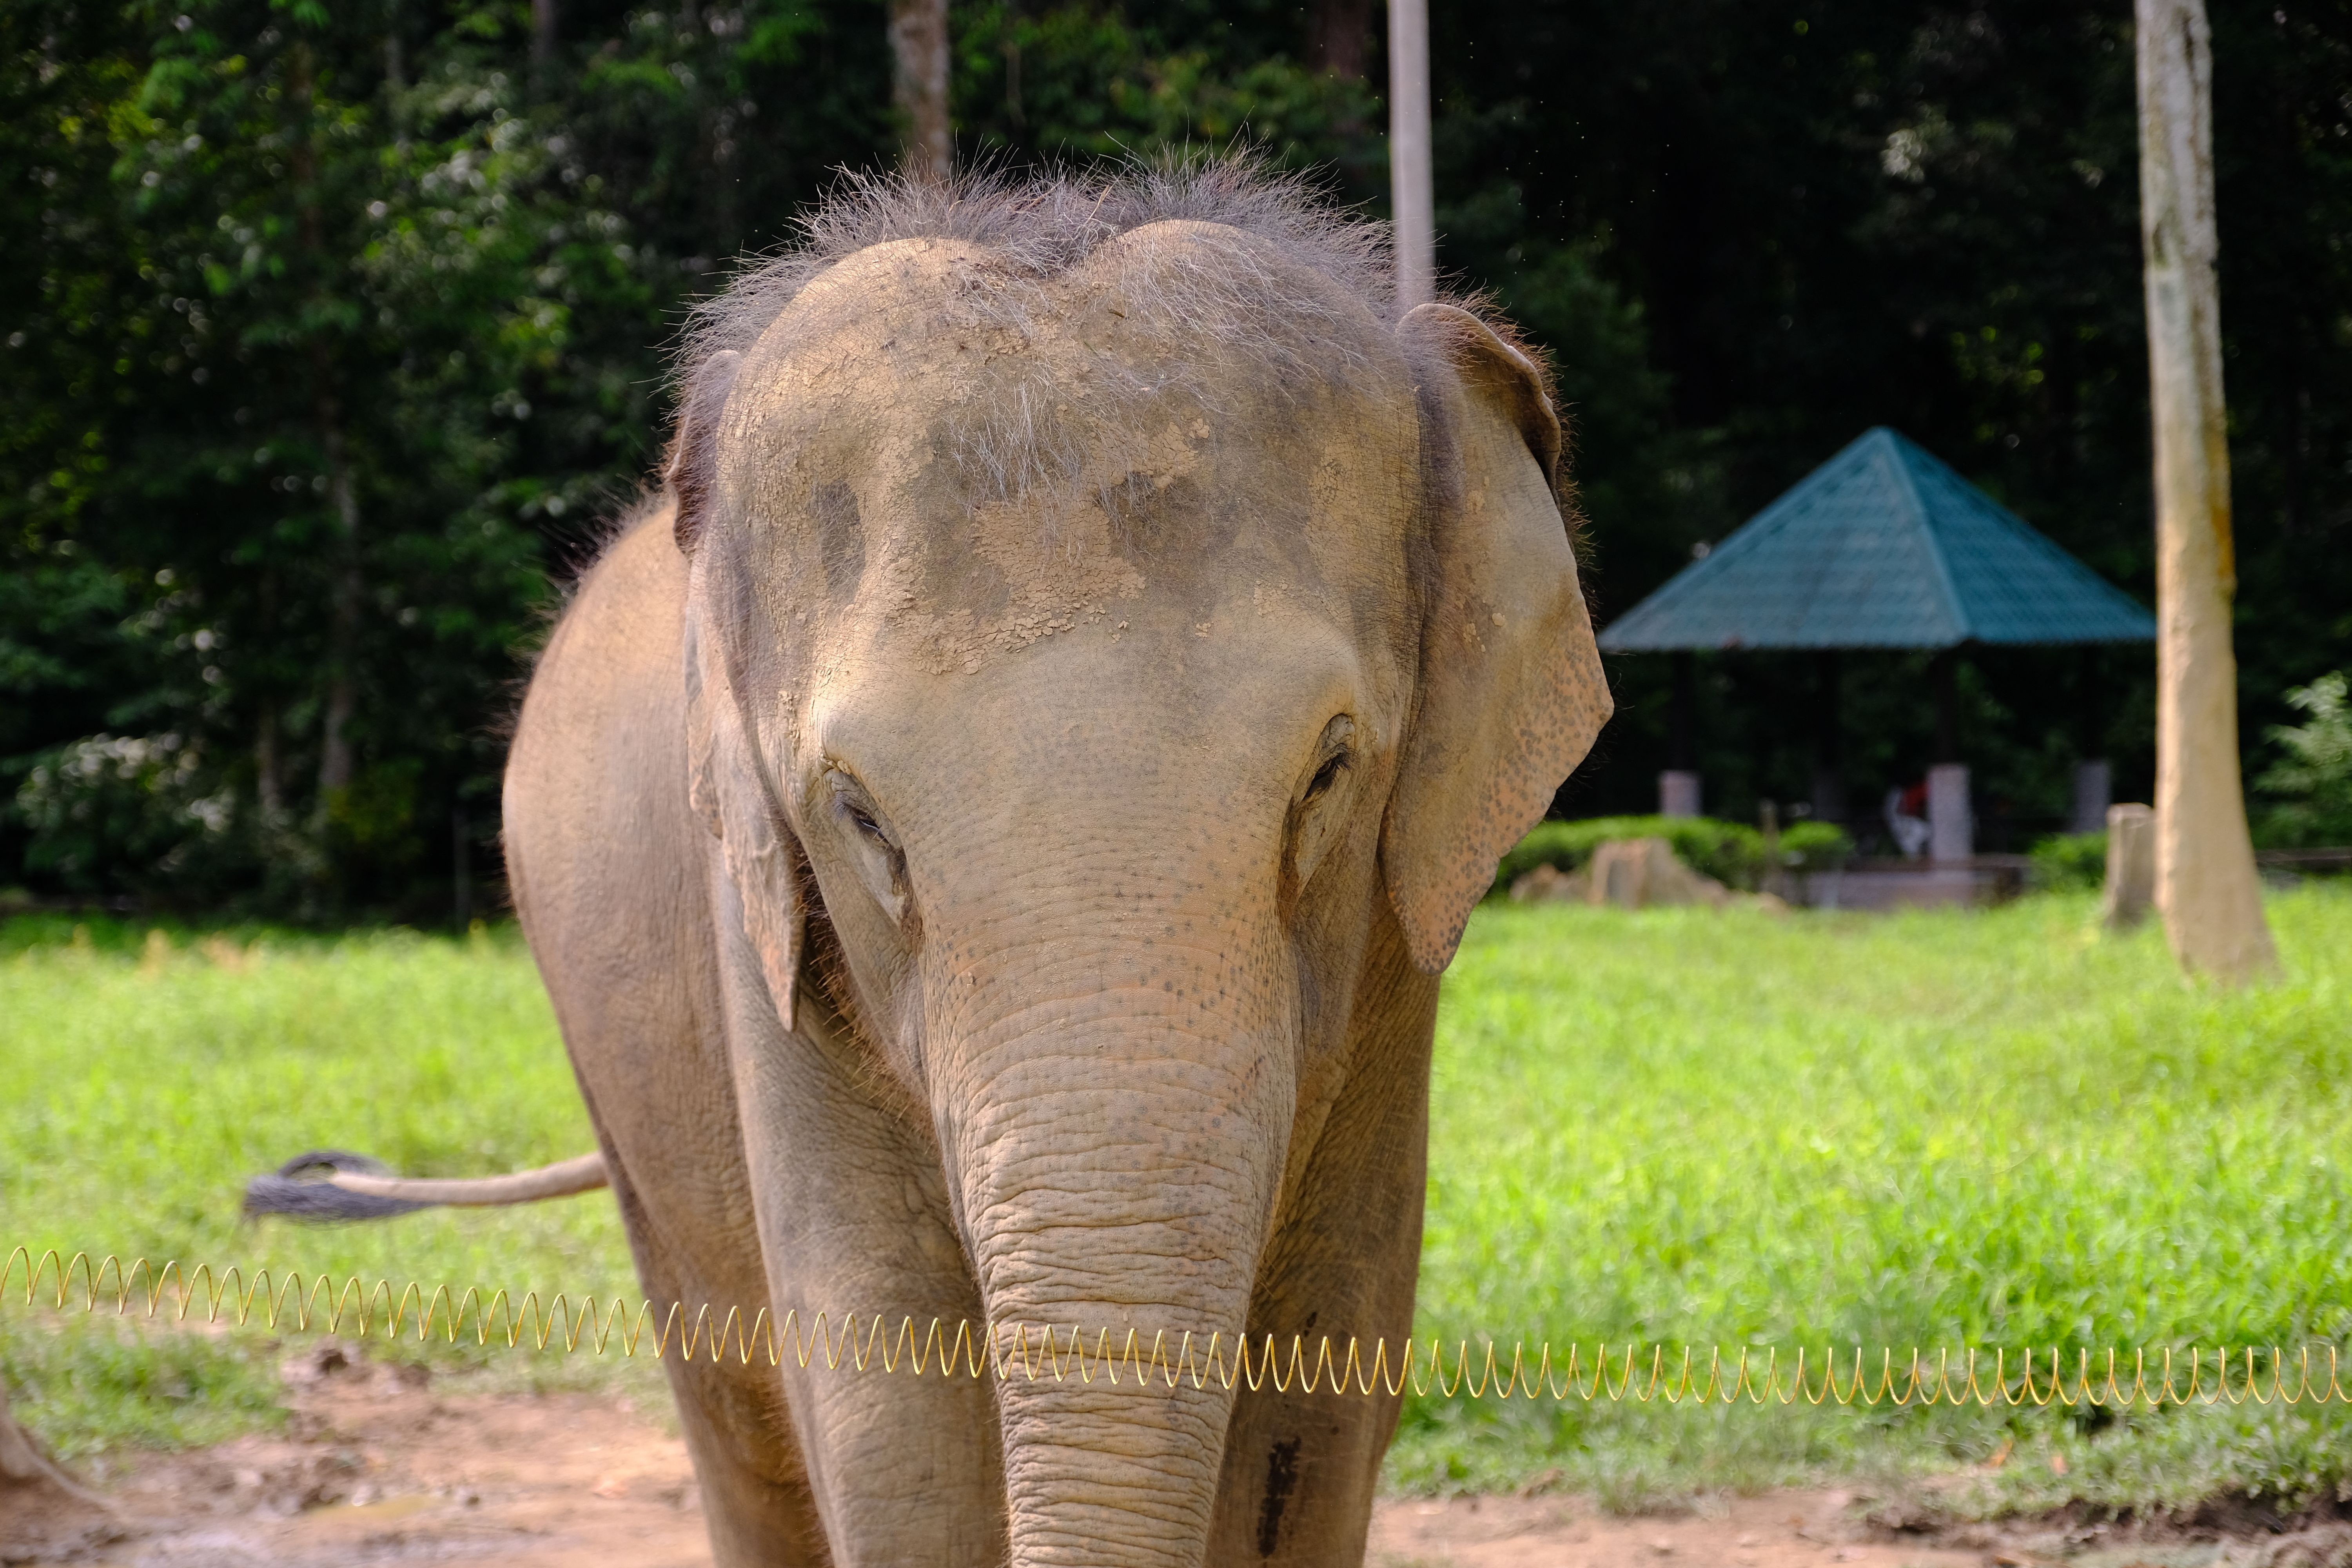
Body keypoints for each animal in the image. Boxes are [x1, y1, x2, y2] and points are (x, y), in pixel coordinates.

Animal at [264, 163, 1609, 1567]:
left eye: (1330, 773)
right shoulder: (765, 927)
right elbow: (894, 1419)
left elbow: (1325, 1391)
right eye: (861, 817)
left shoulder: (1399, 961)